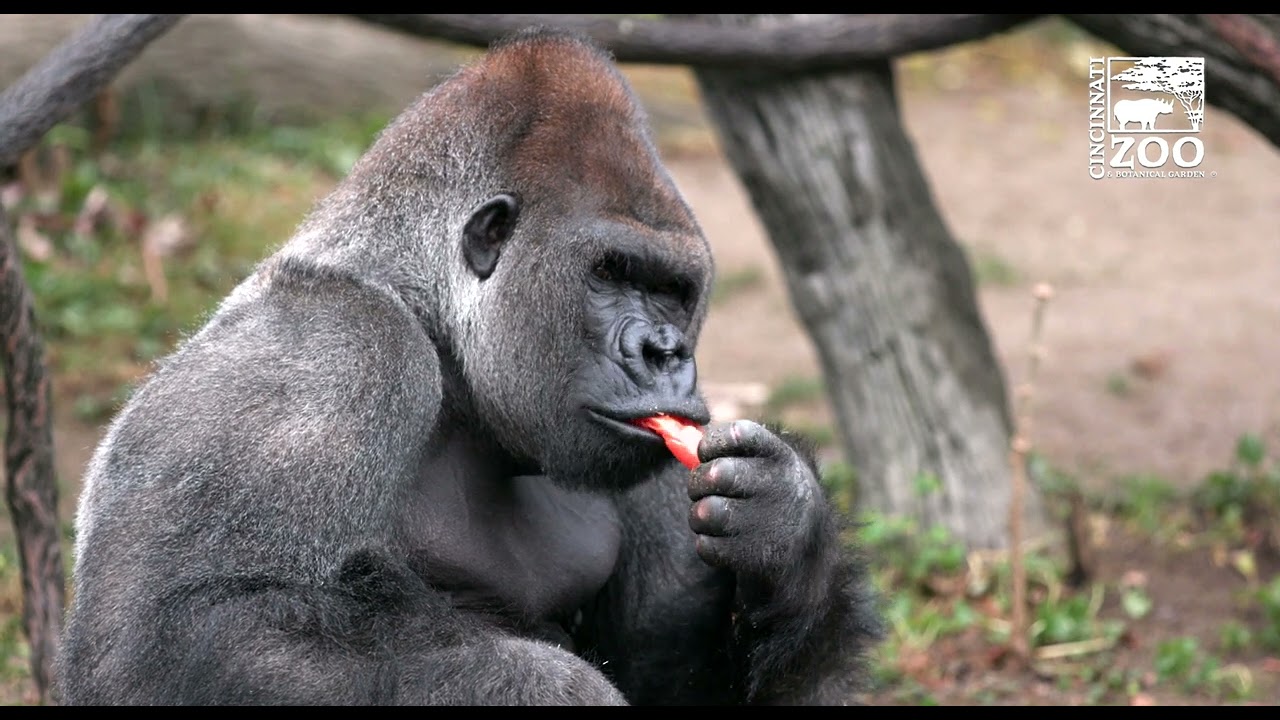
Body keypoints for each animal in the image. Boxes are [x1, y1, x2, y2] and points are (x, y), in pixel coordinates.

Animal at [54, 28, 883, 706]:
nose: (666, 353)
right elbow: (173, 639)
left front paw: (790, 527)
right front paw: (543, 691)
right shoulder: (335, 348)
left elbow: (664, 674)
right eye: (611, 274)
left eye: (673, 292)